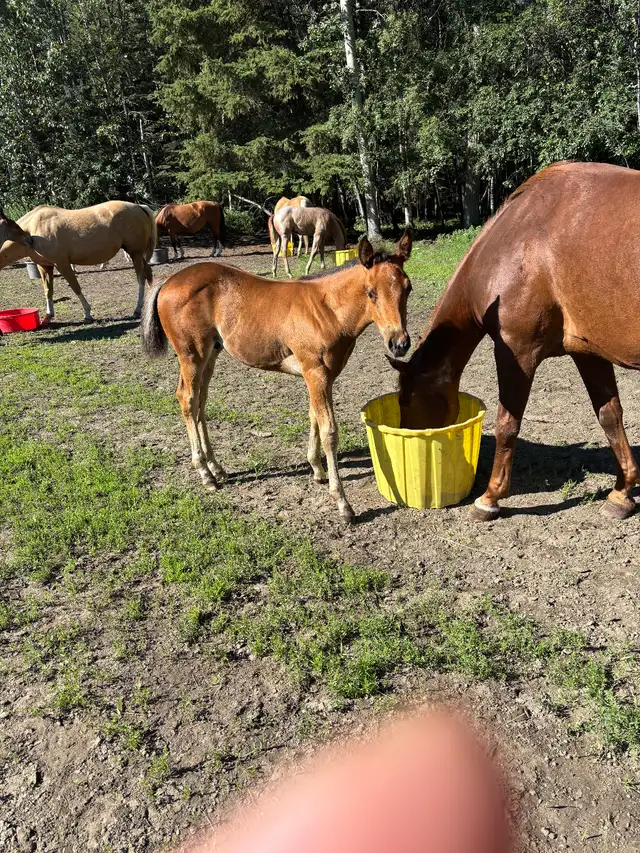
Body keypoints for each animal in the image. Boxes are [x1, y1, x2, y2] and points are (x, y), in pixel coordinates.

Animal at [0, 202, 156, 321]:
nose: (29, 240)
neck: (34, 229)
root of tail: (139, 206)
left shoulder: (62, 264)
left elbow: (75, 287)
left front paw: (87, 313)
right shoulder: (44, 266)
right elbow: (48, 290)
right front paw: (49, 315)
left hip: (135, 253)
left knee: (141, 279)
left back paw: (137, 309)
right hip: (138, 254)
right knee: (148, 273)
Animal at [141, 230, 413, 522]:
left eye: (407, 288)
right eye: (371, 293)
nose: (399, 344)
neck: (327, 309)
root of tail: (168, 281)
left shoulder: (322, 375)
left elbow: (313, 417)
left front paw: (317, 470)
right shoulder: (315, 372)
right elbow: (329, 431)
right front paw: (342, 503)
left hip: (210, 356)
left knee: (201, 403)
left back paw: (217, 468)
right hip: (191, 356)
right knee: (188, 400)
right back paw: (205, 474)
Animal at [389, 161, 640, 522]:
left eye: (406, 400)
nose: (410, 435)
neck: (519, 239)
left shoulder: (517, 351)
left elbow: (507, 423)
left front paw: (489, 498)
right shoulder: (588, 352)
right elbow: (610, 416)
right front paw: (622, 494)